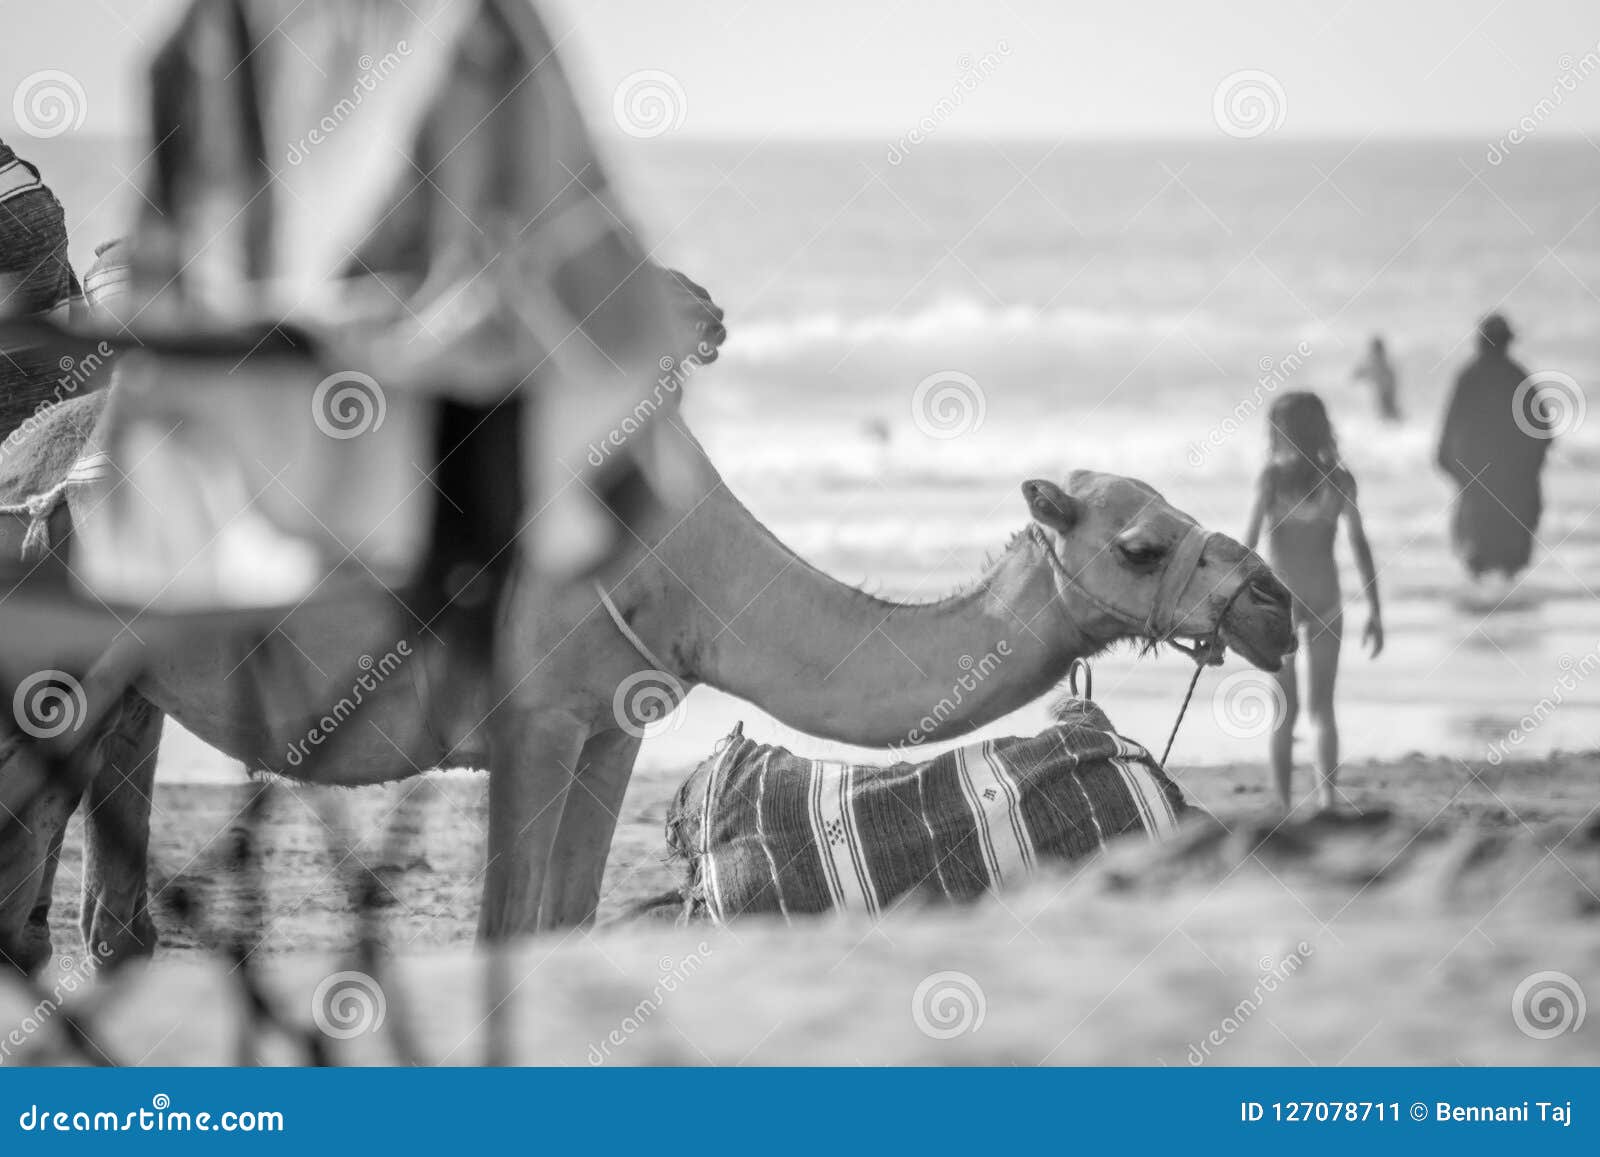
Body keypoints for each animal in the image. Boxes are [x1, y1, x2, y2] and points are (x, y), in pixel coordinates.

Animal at [0, 388, 1294, 973]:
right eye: (1143, 544)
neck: (689, 562)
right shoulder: (534, 715)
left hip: (118, 678)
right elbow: (507, 928)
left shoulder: (612, 723)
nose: (1275, 605)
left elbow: (567, 920)